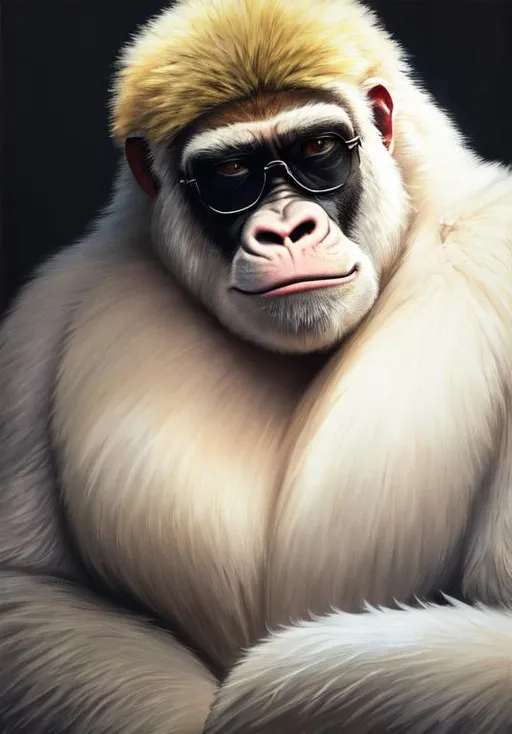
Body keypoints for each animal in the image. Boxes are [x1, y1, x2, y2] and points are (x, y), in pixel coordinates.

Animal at [1, 0, 512, 731]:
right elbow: (29, 585)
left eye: (317, 151)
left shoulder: (494, 243)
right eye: (232, 174)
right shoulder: (42, 323)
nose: (285, 229)